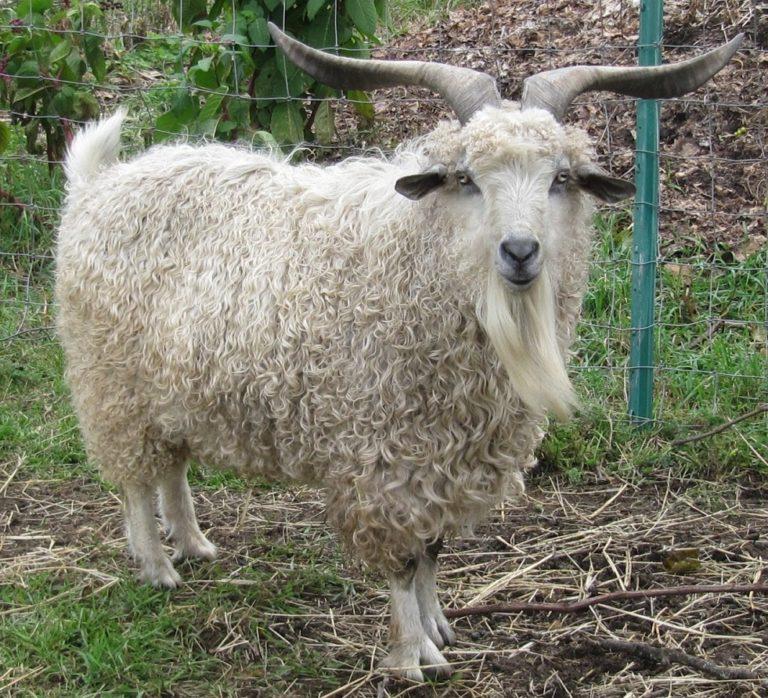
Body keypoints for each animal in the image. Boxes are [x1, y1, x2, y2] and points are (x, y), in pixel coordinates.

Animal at [55, 25, 742, 680]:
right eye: (466, 179)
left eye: (561, 179)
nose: (520, 252)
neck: (415, 259)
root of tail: (96, 186)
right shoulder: (381, 456)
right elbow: (404, 561)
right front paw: (413, 654)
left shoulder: (447, 455)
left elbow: (432, 550)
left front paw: (439, 626)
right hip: (110, 379)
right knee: (134, 479)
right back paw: (155, 565)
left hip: (168, 386)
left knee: (170, 465)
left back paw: (194, 543)